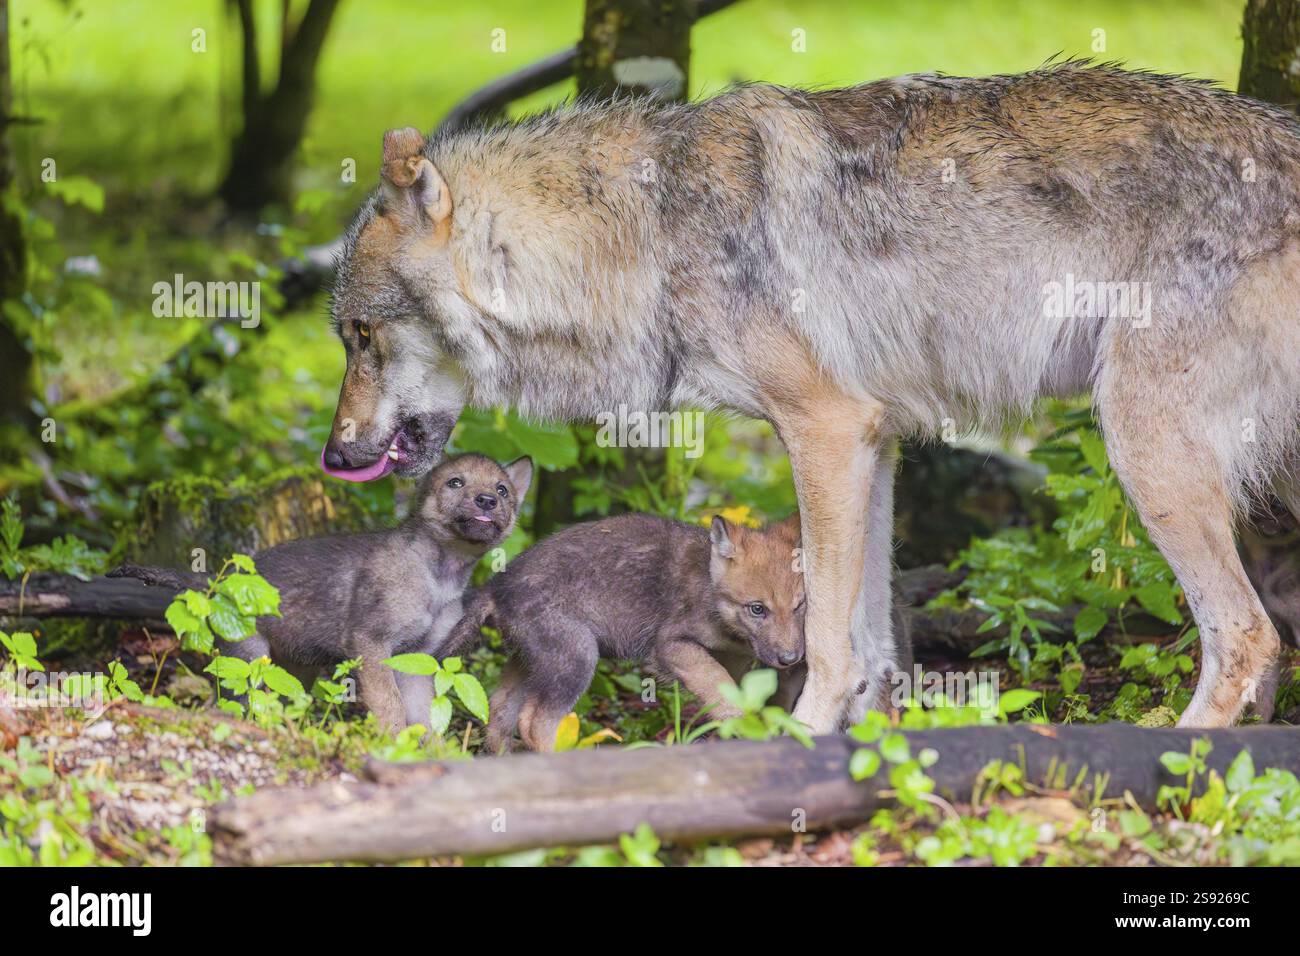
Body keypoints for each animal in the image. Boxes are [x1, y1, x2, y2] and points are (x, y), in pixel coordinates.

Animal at [111, 454, 531, 730]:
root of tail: (215, 579)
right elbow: (391, 708)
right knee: (229, 704)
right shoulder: (370, 643)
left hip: (293, 666)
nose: (487, 501)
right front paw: (384, 747)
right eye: (456, 482)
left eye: (502, 490)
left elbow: (423, 719)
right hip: (248, 657)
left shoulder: (420, 657)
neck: (444, 574)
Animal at [441, 512, 806, 752]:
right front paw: (748, 727)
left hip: (531, 661)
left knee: (500, 711)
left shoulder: (734, 659)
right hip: (579, 656)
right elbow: (719, 685)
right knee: (534, 723)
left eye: (800, 606)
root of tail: (496, 587)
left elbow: (726, 691)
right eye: (757, 609)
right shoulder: (670, 645)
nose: (791, 658)